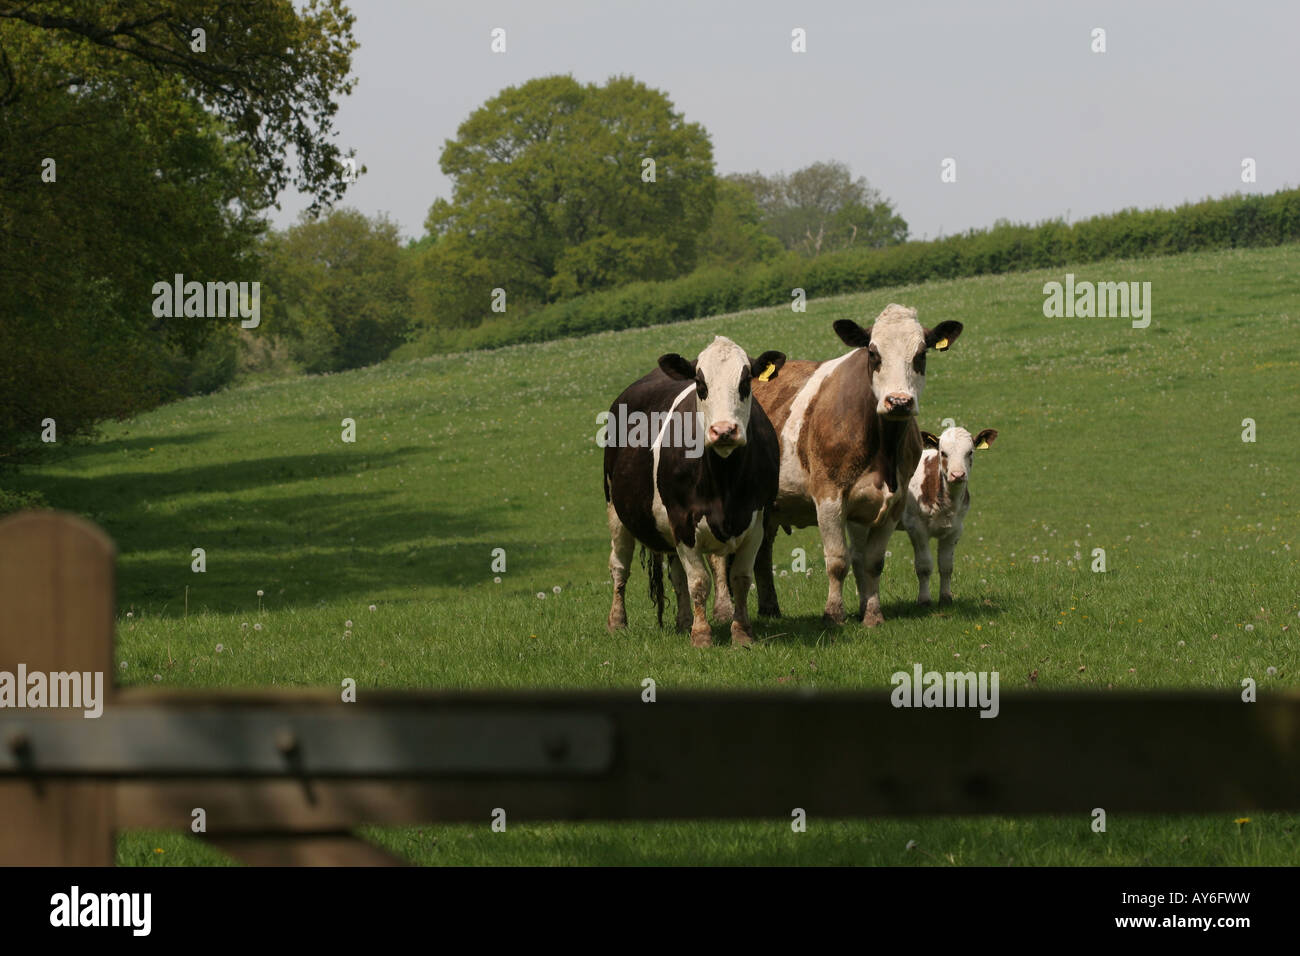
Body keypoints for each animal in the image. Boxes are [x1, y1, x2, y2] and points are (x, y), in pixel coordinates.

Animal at [603, 336, 786, 648]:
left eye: (745, 382)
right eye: (701, 384)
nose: (724, 430)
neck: (725, 481)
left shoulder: (757, 520)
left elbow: (739, 578)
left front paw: (741, 633)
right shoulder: (683, 521)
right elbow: (699, 581)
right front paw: (702, 636)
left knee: (677, 576)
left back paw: (684, 621)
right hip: (616, 511)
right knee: (620, 567)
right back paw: (617, 622)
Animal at [712, 305, 963, 628]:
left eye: (921, 354)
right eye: (873, 353)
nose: (898, 401)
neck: (883, 446)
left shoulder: (892, 505)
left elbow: (872, 562)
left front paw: (872, 614)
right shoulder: (829, 496)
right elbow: (837, 560)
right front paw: (833, 613)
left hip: (766, 509)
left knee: (762, 553)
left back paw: (769, 608)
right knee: (719, 558)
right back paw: (722, 610)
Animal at [899, 426, 998, 605]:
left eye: (970, 452)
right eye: (943, 452)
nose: (958, 475)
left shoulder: (955, 528)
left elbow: (946, 566)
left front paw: (946, 597)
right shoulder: (915, 526)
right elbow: (924, 565)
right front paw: (924, 600)